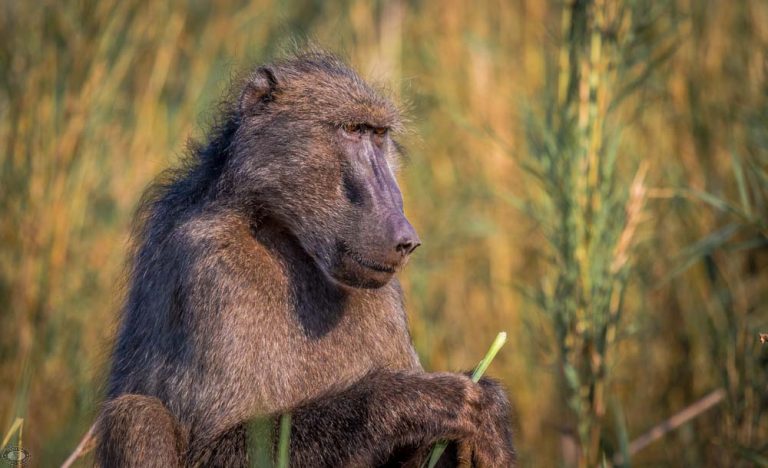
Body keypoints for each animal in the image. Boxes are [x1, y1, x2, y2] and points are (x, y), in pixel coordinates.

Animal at [96, 50, 516, 467]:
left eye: (379, 135)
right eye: (352, 129)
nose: (406, 240)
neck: (284, 238)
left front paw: (489, 425)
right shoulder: (208, 263)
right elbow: (211, 448)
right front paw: (420, 399)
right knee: (138, 414)